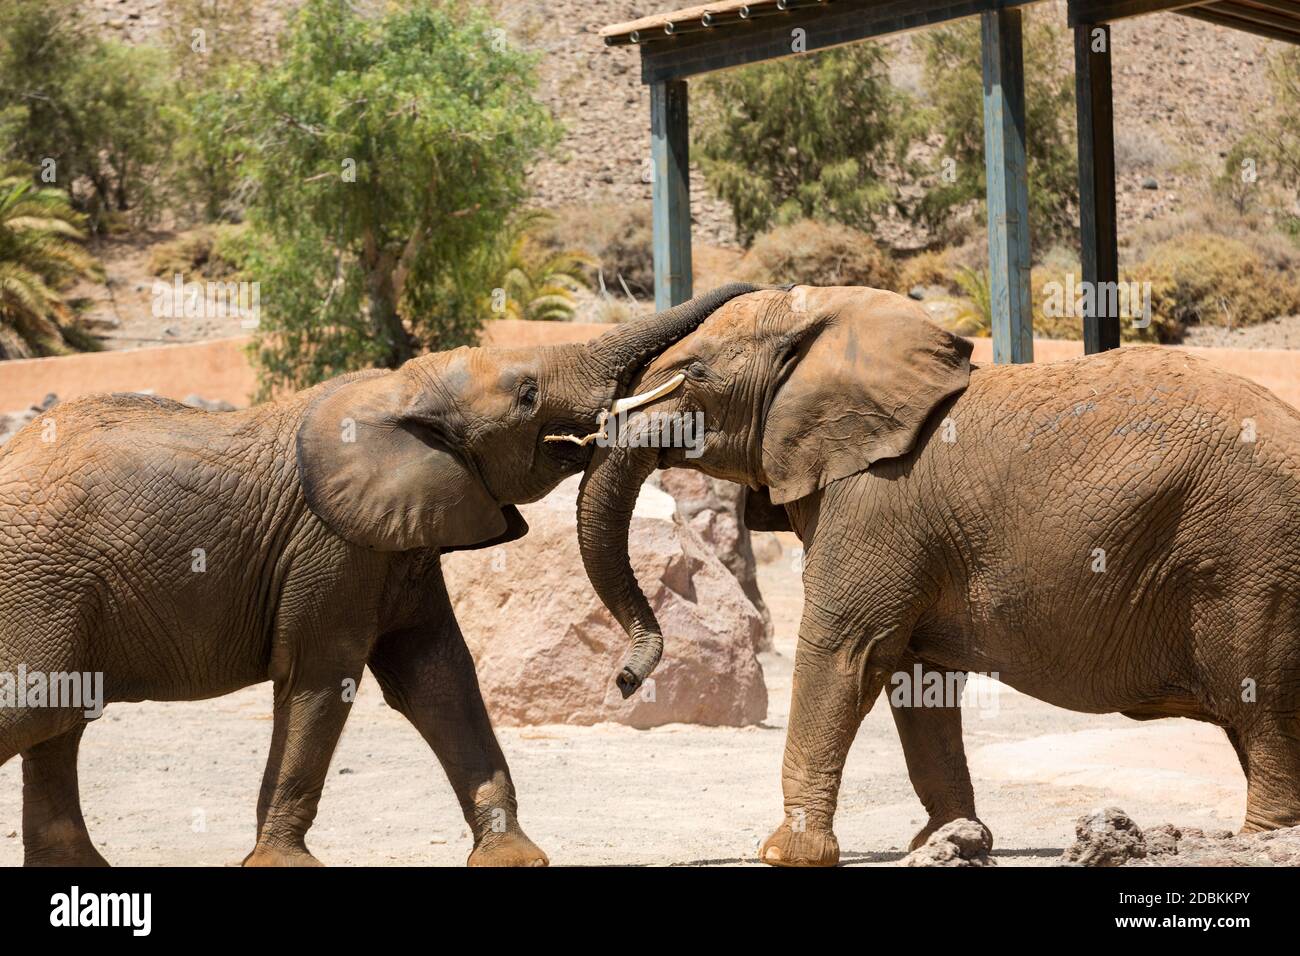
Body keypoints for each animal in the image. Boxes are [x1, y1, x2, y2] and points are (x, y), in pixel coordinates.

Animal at [0, 282, 757, 867]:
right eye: (527, 395)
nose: (624, 681)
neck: (399, 392)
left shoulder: (402, 542)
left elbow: (440, 678)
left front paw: (515, 858)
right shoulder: (330, 546)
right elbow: (321, 676)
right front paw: (282, 865)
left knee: (58, 722)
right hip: (40, 586)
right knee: (36, 711)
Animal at [570, 284, 1300, 867]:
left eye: (694, 374)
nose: (625, 680)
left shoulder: (876, 501)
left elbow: (840, 650)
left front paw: (785, 852)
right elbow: (917, 679)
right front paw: (951, 842)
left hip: (1250, 559)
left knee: (1261, 709)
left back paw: (1259, 842)